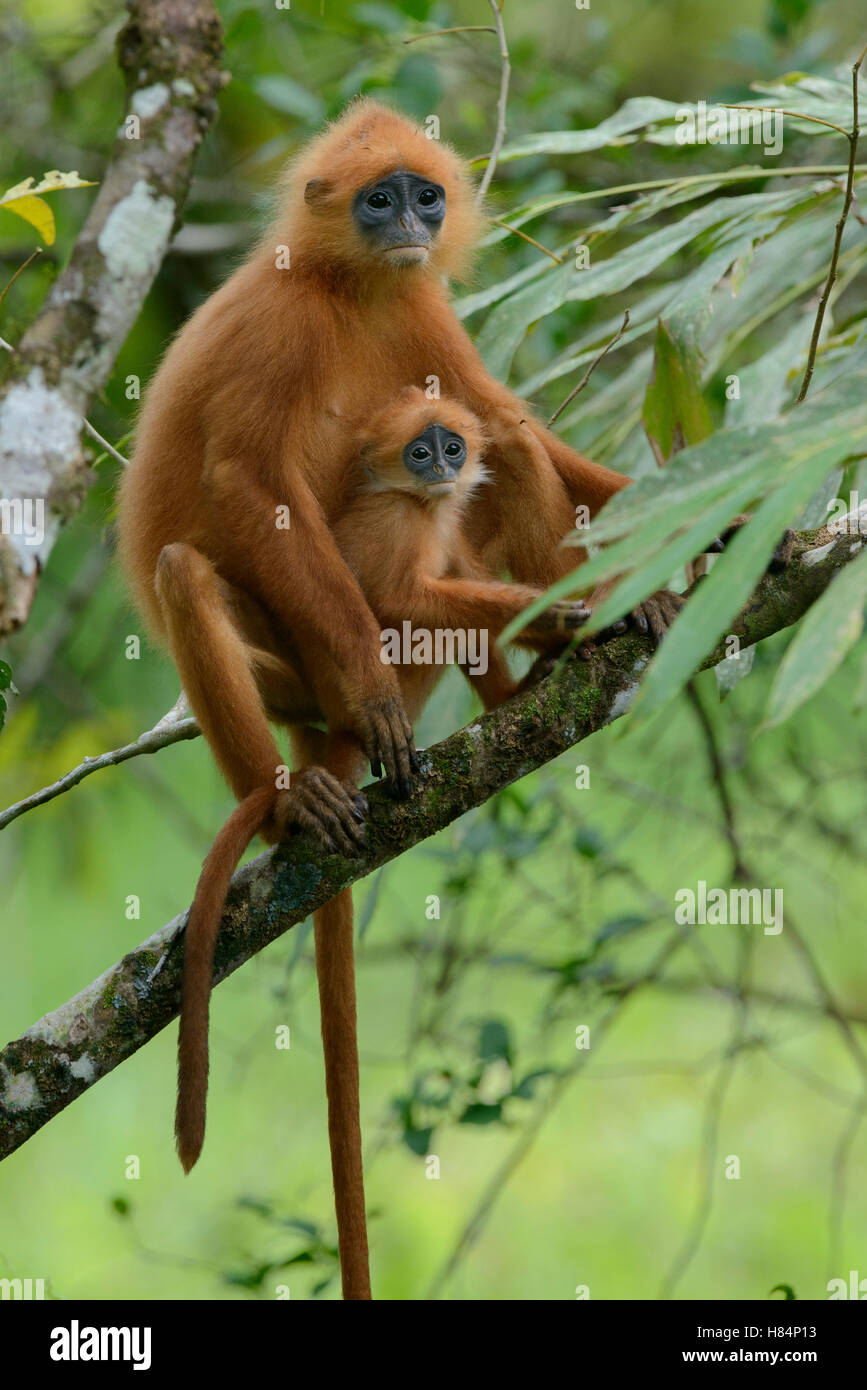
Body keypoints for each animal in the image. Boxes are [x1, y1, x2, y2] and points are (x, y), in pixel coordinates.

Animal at [117, 98, 684, 1299]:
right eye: (378, 199)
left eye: (423, 195)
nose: (410, 224)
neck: (354, 294)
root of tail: (308, 732)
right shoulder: (281, 323)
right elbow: (247, 484)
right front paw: (386, 694)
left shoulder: (421, 308)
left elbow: (510, 421)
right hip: (295, 664)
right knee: (194, 568)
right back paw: (298, 797)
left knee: (504, 446)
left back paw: (551, 660)